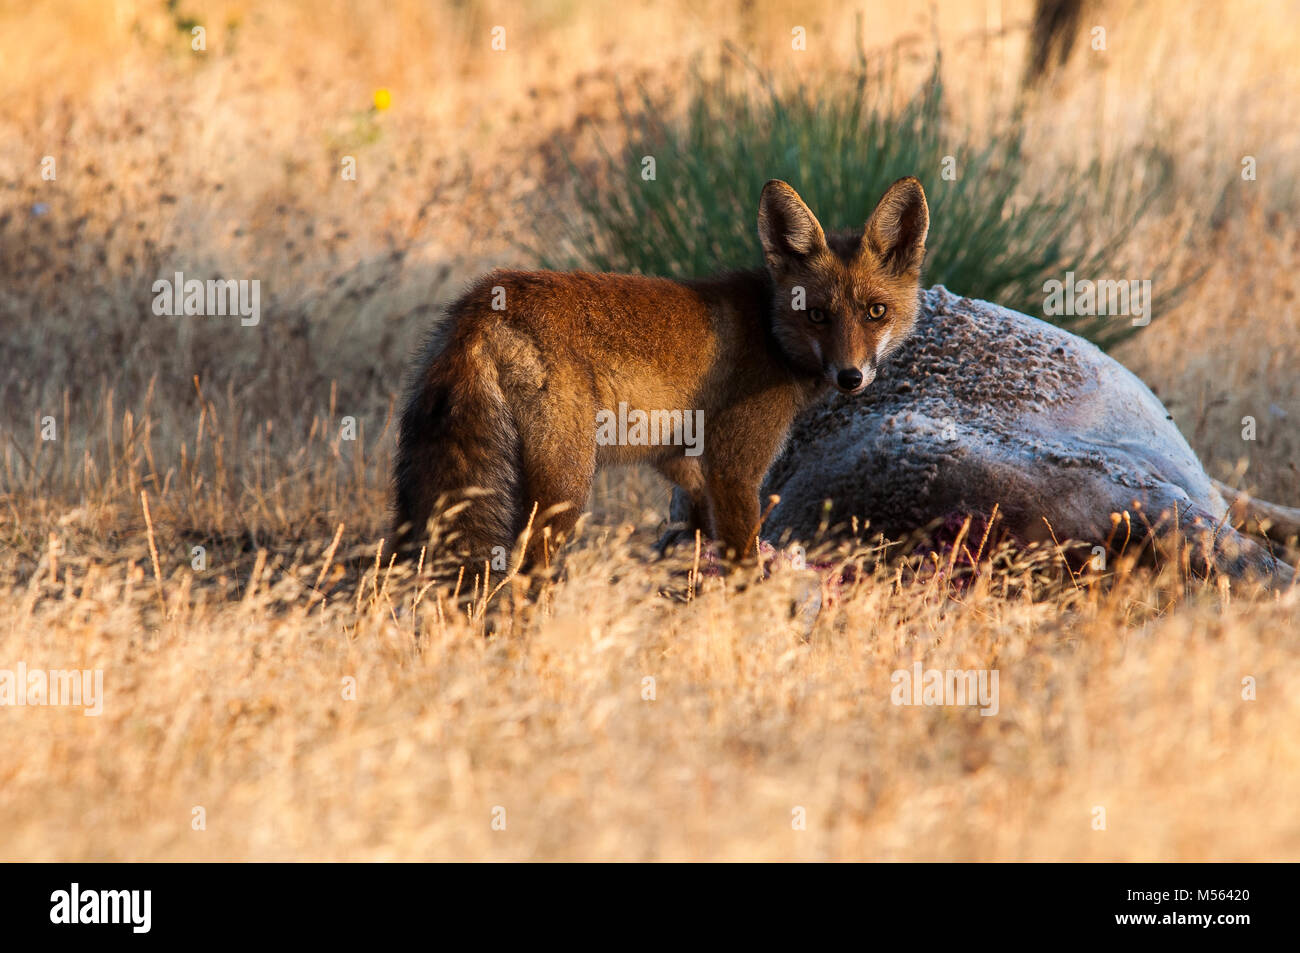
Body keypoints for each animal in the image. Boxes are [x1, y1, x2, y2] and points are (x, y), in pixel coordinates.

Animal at [391, 176, 930, 576]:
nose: (850, 377)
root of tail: (483, 301)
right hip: (564, 490)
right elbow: (743, 566)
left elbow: (699, 540)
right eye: (817, 315)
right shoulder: (733, 469)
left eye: (876, 312)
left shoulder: (683, 463)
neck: (770, 330)